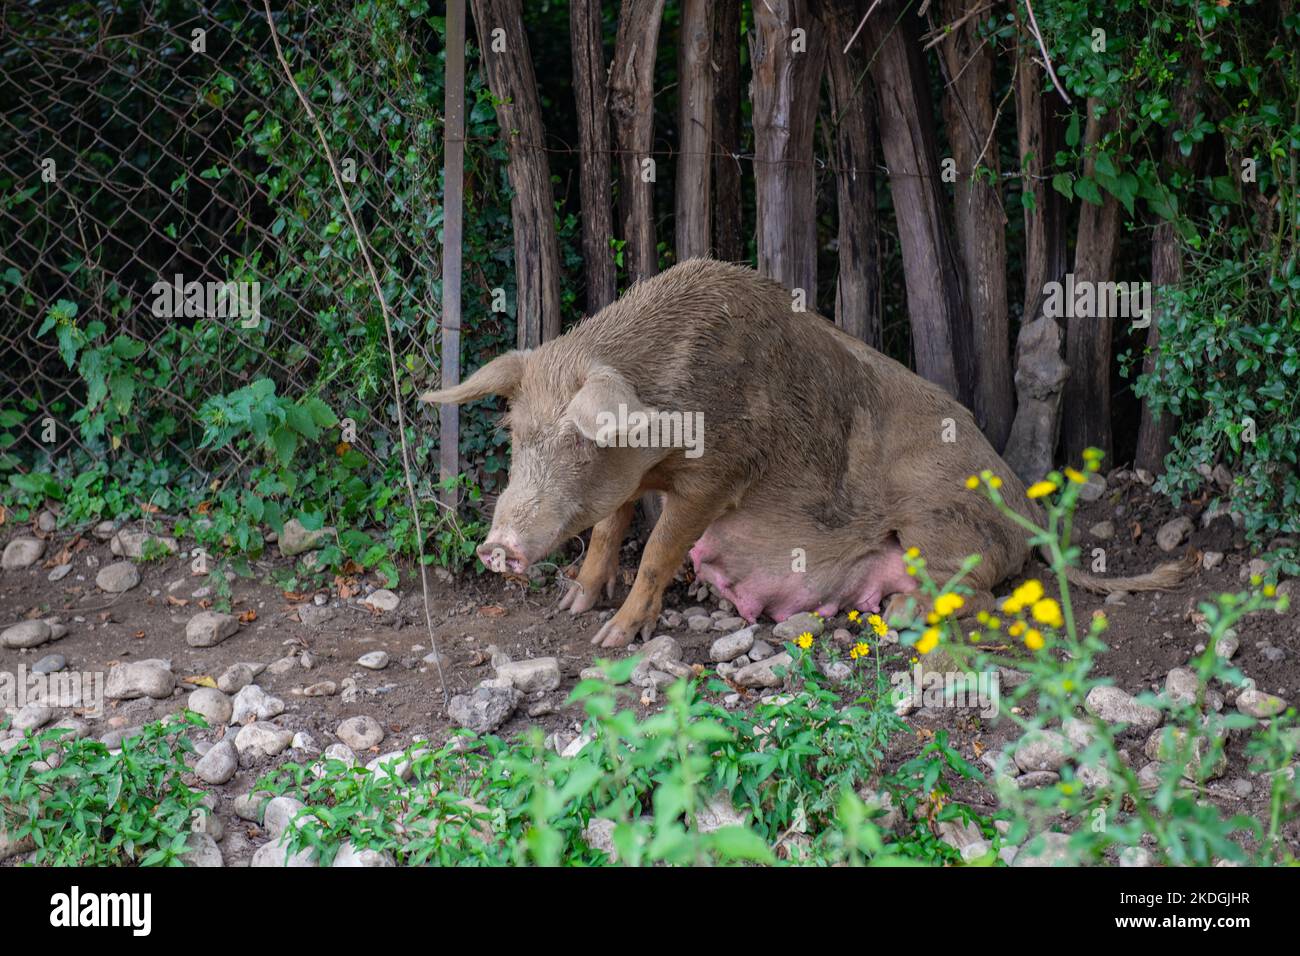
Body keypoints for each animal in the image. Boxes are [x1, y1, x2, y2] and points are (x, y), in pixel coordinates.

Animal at [421, 259, 1190, 648]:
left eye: (582, 440)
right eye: (517, 433)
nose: (497, 546)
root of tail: (1031, 528)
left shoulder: (717, 475)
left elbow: (662, 550)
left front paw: (612, 639)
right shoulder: (639, 478)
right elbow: (610, 527)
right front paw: (572, 606)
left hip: (938, 523)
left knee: (976, 592)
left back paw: (901, 615)